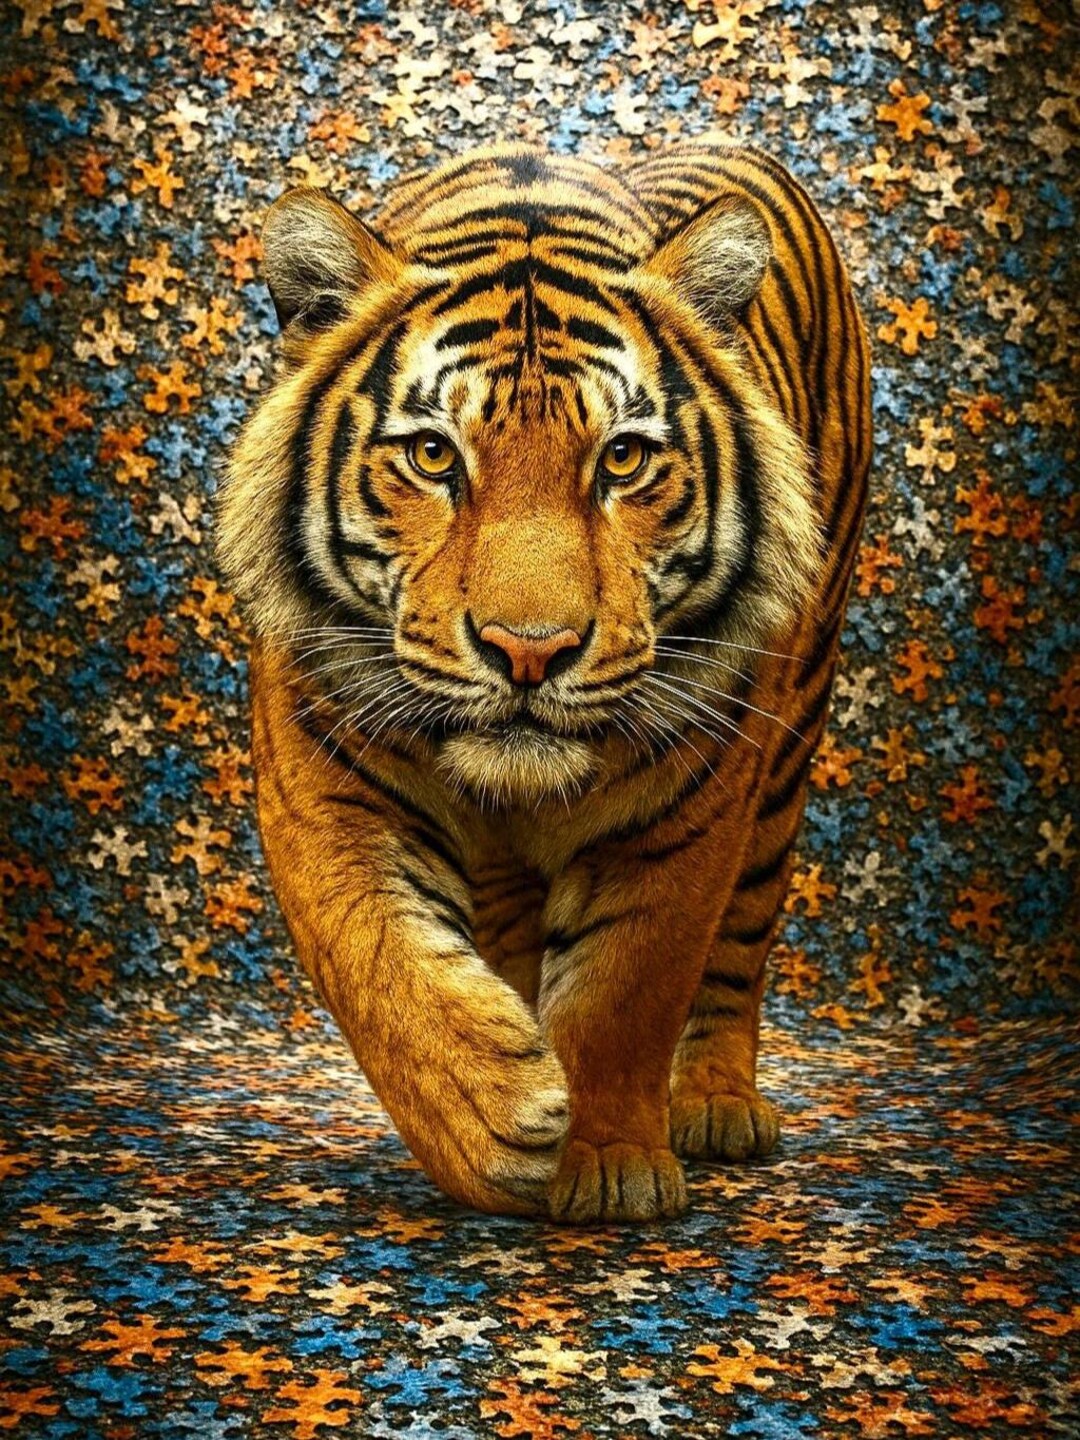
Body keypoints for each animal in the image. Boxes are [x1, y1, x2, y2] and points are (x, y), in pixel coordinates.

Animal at [216, 137, 872, 1224]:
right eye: (432, 455)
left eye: (625, 460)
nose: (529, 651)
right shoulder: (323, 784)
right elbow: (374, 958)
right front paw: (495, 1114)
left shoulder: (686, 811)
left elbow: (625, 990)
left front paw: (607, 1165)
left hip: (790, 734)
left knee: (741, 939)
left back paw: (717, 1105)